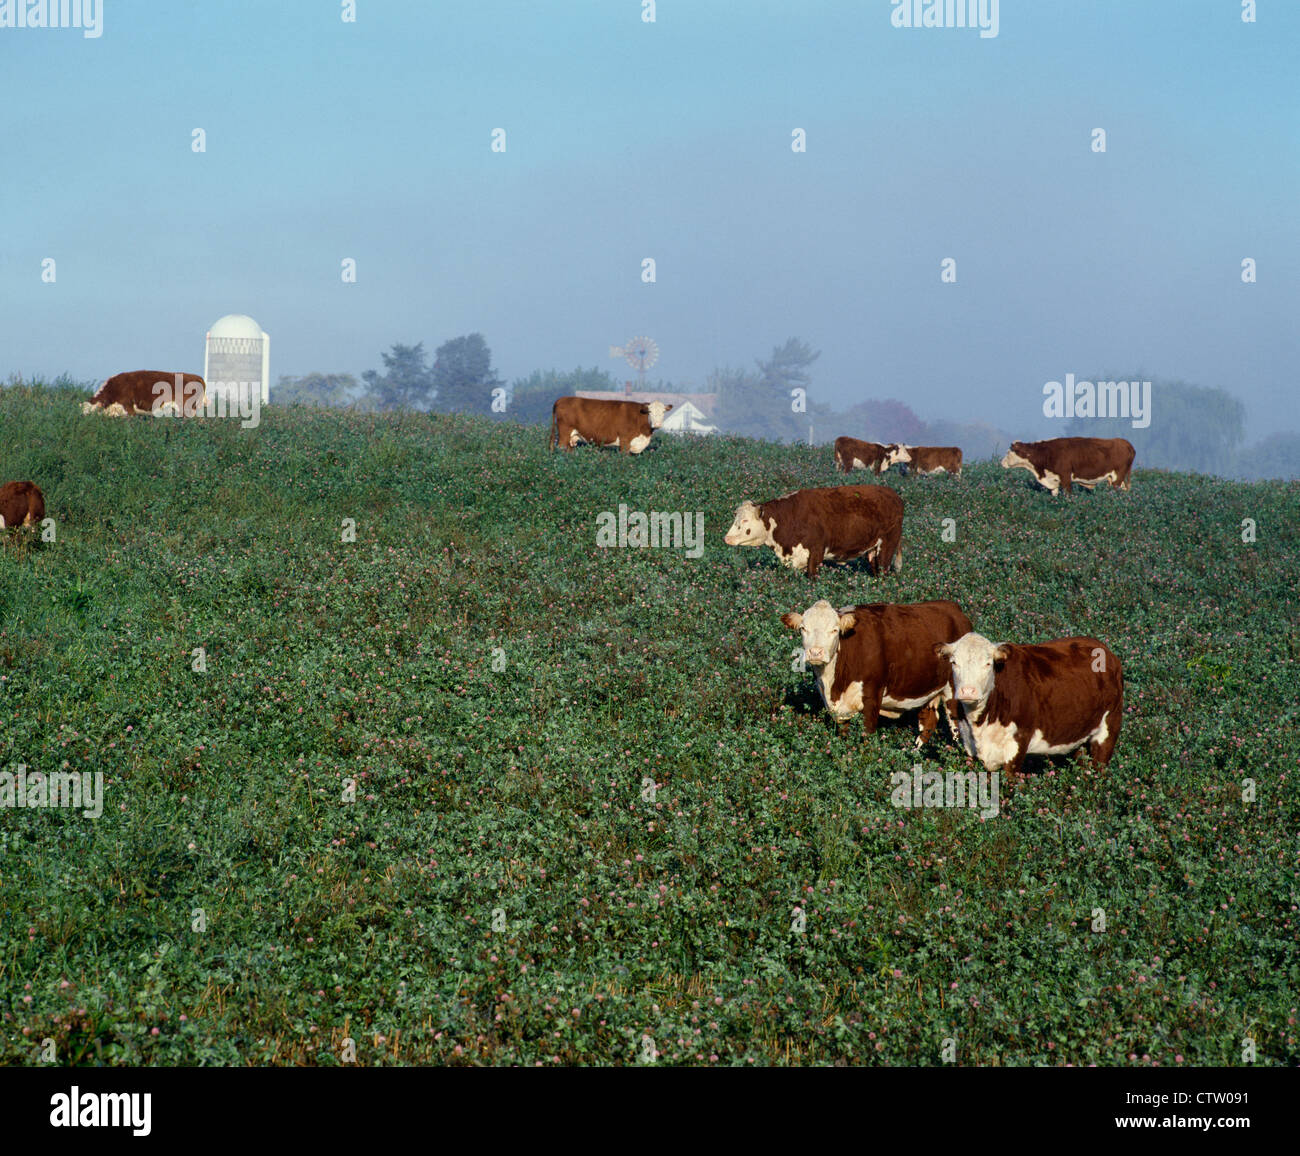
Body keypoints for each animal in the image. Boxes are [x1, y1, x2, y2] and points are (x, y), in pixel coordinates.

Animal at [723, 484, 903, 579]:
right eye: (736, 517)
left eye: (745, 520)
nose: (727, 538)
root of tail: (893, 494)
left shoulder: (816, 553)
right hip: (873, 551)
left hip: (887, 546)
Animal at [782, 599, 972, 747]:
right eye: (803, 628)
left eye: (835, 630)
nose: (815, 652)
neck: (834, 686)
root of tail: (954, 607)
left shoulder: (872, 696)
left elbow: (866, 736)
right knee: (928, 721)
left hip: (955, 689)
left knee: (957, 726)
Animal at [935, 632, 1123, 780]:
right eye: (954, 662)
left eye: (988, 663)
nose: (968, 691)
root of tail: (1103, 648)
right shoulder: (970, 747)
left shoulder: (1017, 744)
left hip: (1109, 729)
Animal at [1000, 437, 1135, 496]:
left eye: (1008, 452)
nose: (1001, 463)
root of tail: (1125, 443)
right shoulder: (1053, 480)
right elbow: (1054, 494)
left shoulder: (1065, 477)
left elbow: (1067, 495)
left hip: (1118, 476)